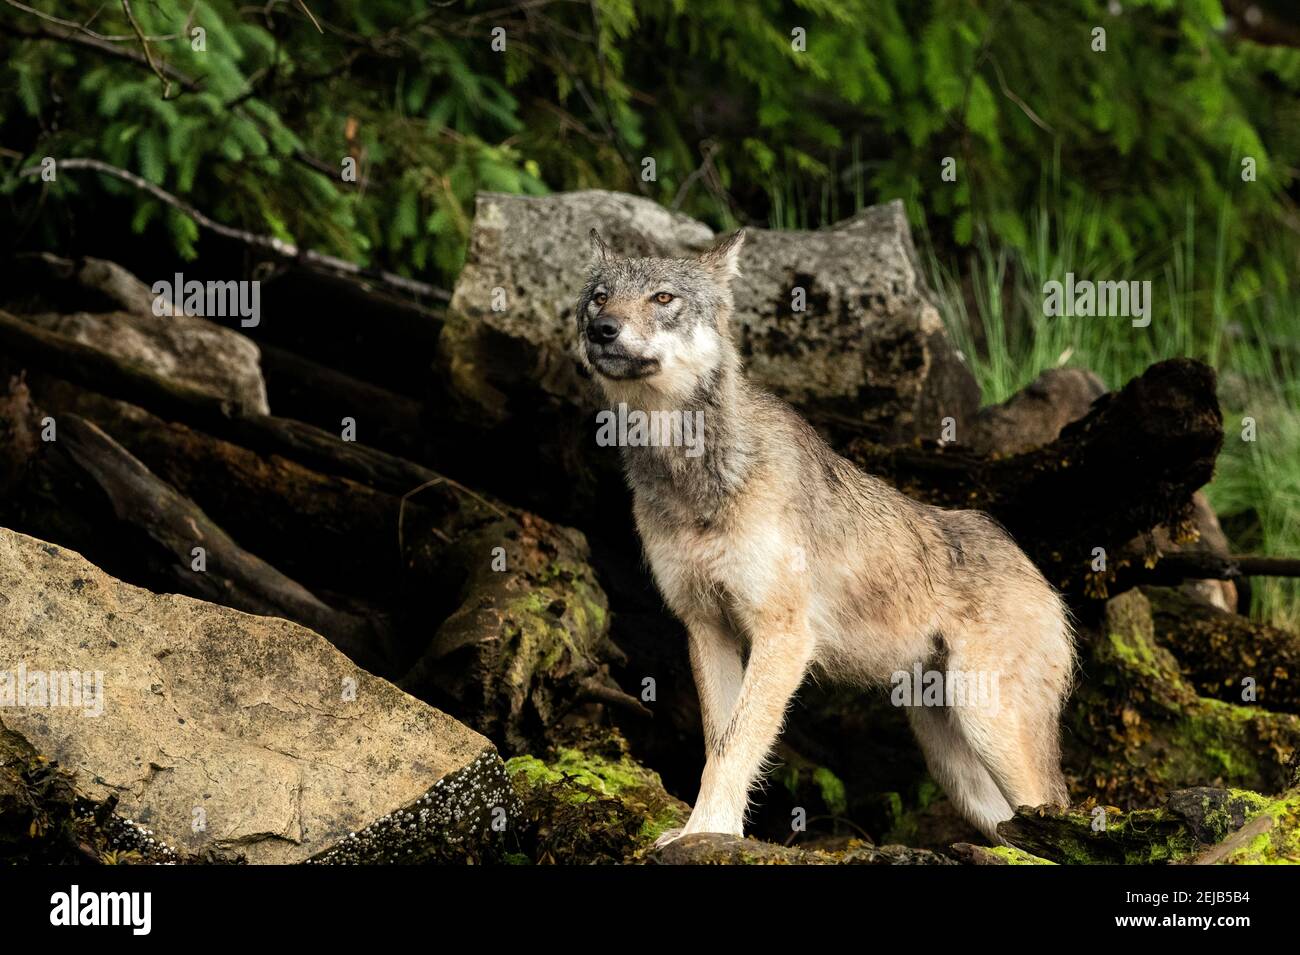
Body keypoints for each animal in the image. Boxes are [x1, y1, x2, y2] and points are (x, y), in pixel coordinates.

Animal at [575, 228, 1075, 845]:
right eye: (599, 298)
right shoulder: (707, 628)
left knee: (1054, 805)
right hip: (957, 766)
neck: (690, 475)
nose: (602, 329)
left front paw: (705, 832)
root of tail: (1034, 569)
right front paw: (715, 831)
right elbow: (719, 742)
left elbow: (734, 746)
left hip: (989, 726)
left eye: (663, 298)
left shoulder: (784, 636)